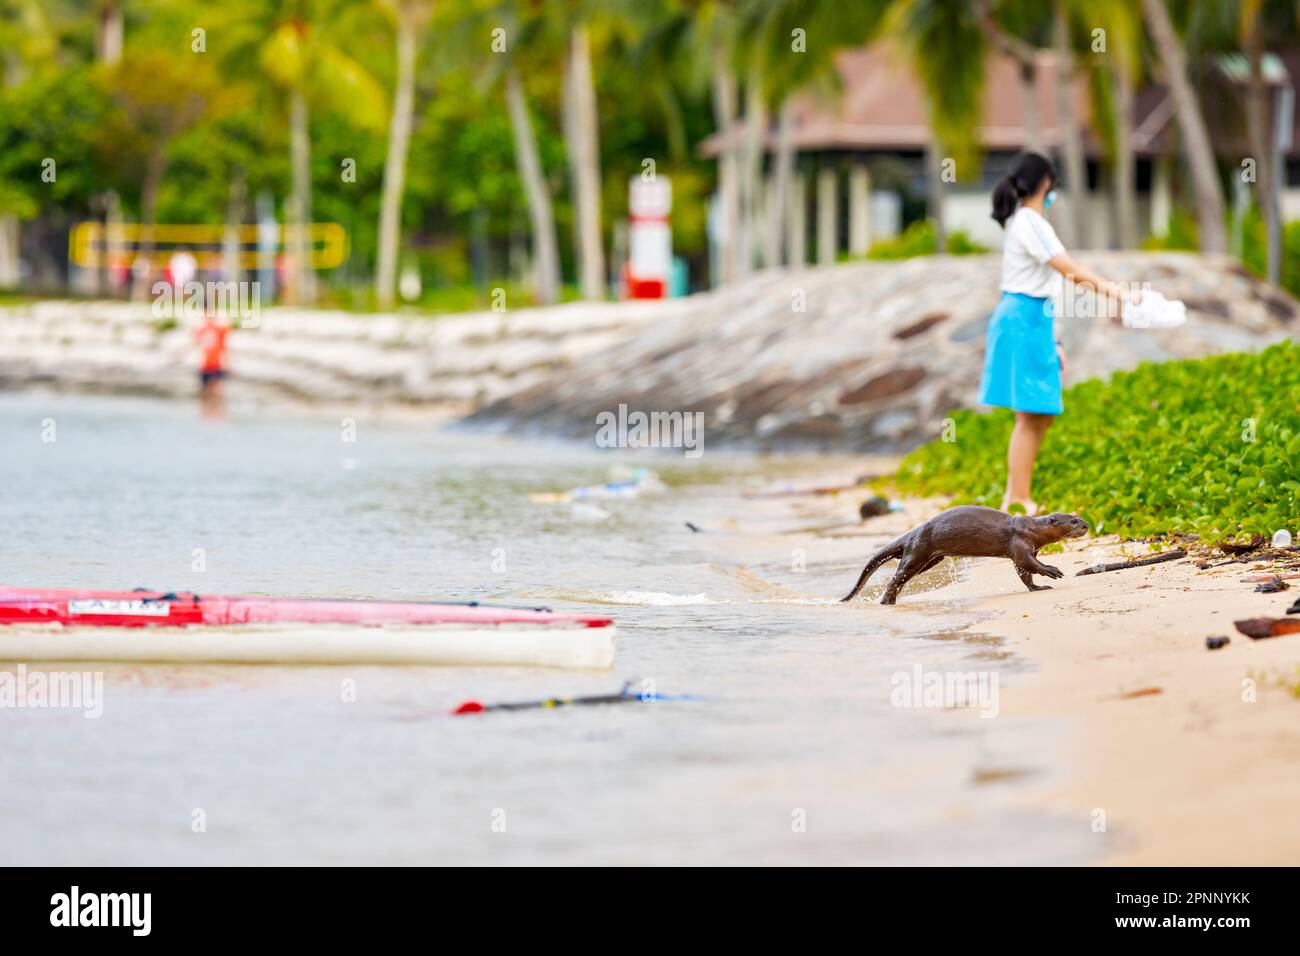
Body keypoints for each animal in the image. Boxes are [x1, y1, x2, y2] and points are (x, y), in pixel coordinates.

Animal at [840, 506, 1088, 605]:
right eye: (1073, 520)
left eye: (1079, 516)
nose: (1086, 524)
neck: (1033, 530)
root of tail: (913, 532)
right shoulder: (1020, 545)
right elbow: (1027, 563)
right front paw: (1052, 570)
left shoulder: (1030, 549)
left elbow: (1024, 573)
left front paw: (1038, 587)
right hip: (917, 551)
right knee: (897, 577)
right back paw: (887, 602)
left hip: (930, 559)